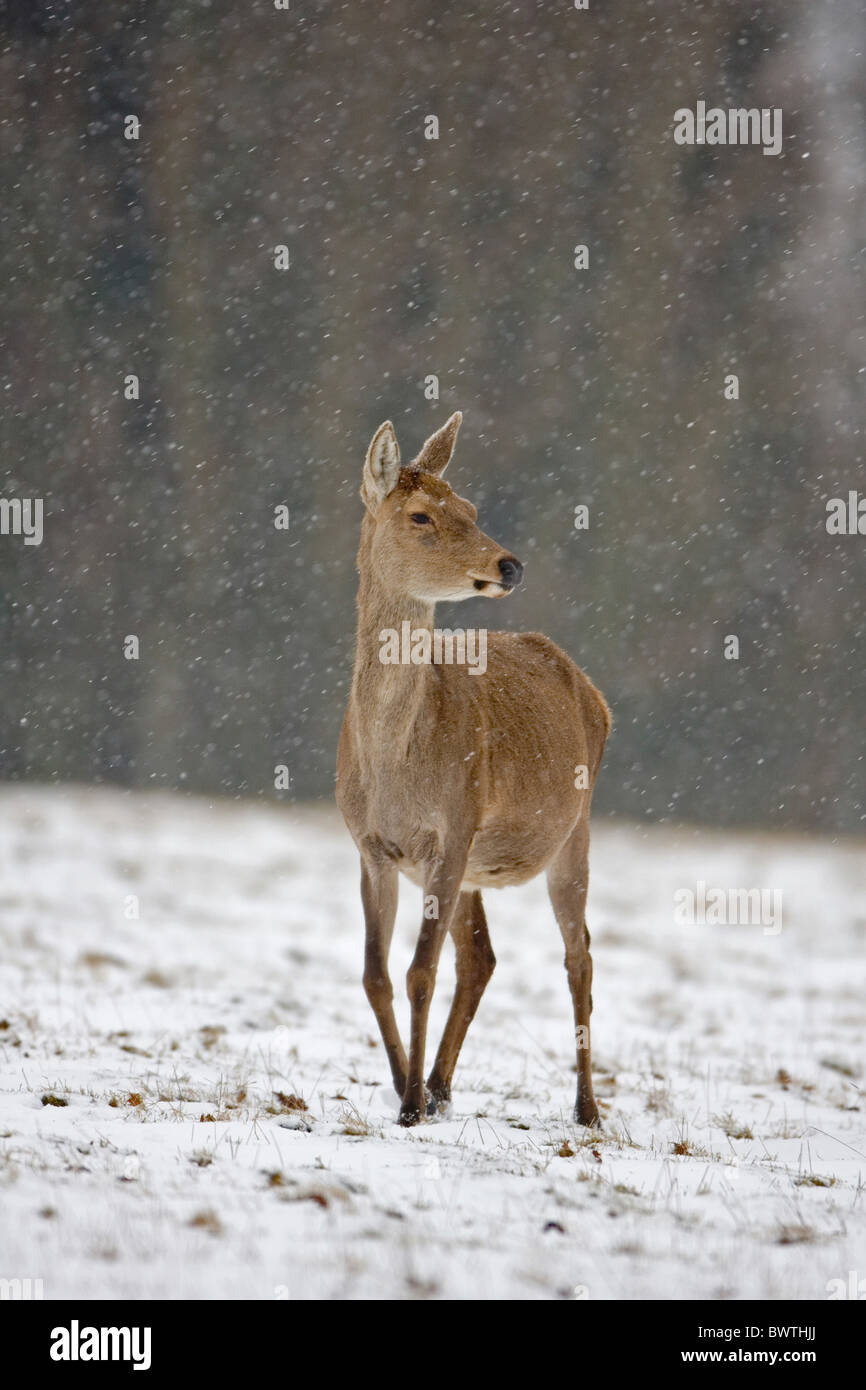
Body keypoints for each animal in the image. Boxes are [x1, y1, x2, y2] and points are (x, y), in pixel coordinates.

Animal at [336, 411, 611, 1128]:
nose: (509, 564)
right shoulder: (371, 847)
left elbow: (419, 971)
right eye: (421, 515)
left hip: (573, 831)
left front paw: (407, 1106)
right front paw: (406, 1087)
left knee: (580, 954)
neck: (393, 766)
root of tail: (591, 689)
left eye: (471, 508)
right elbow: (376, 973)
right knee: (483, 956)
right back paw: (440, 1085)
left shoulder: (453, 828)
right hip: (478, 868)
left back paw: (587, 1107)